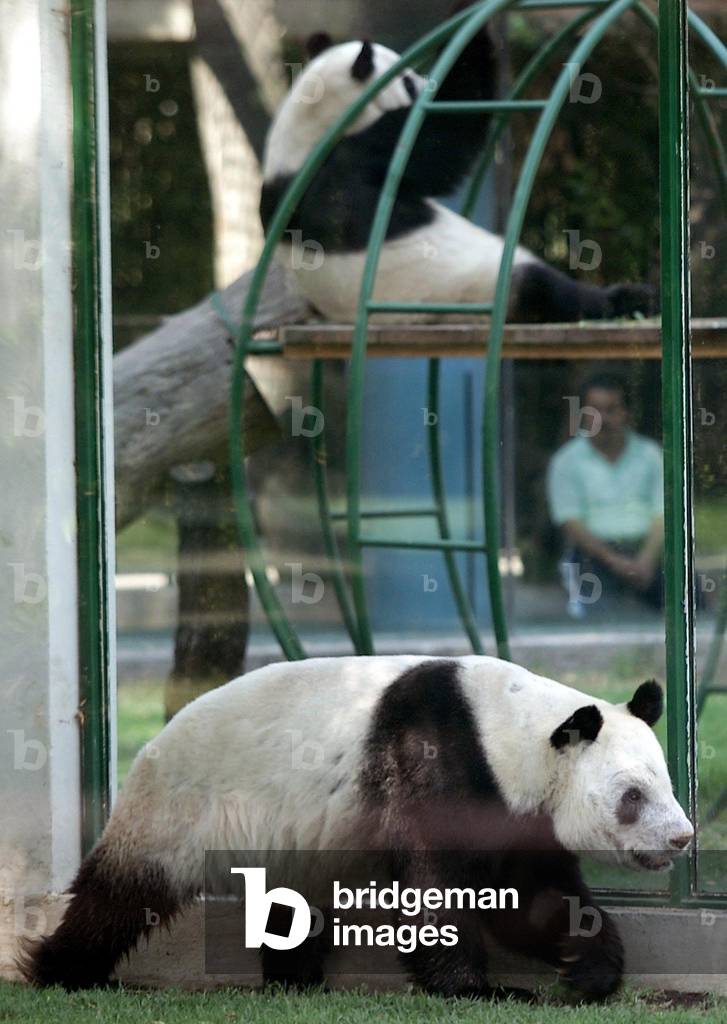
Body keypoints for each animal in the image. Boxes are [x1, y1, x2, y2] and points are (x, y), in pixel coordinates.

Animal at [20, 655, 692, 1000]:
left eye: (666, 781)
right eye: (632, 797)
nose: (681, 839)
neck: (511, 730)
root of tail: (152, 744)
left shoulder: (517, 810)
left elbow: (533, 897)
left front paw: (584, 970)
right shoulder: (438, 760)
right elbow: (437, 887)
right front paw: (482, 990)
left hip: (290, 837)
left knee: (290, 904)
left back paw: (295, 980)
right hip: (181, 808)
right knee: (125, 892)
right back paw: (62, 972)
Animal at [261, 30, 656, 324]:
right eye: (407, 82)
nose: (424, 83)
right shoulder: (357, 161)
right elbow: (447, 136)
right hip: (481, 286)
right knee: (546, 290)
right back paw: (628, 299)